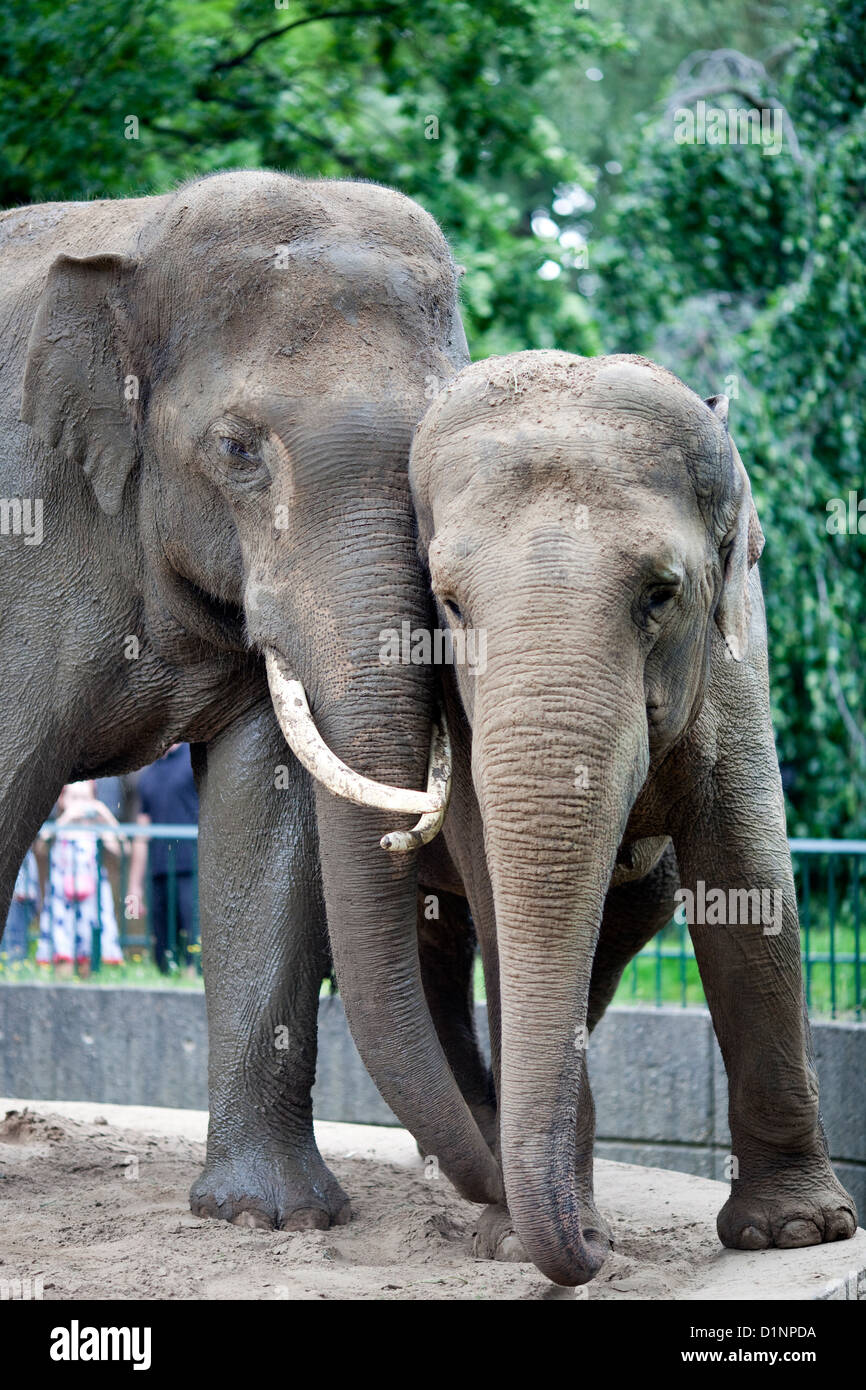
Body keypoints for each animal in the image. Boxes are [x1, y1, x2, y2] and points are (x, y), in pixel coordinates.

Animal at [408, 349, 858, 1286]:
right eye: (449, 604)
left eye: (661, 594)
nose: (589, 1253)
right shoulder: (456, 711)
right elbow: (499, 891)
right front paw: (522, 1241)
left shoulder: (738, 650)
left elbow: (748, 873)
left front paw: (797, 1233)